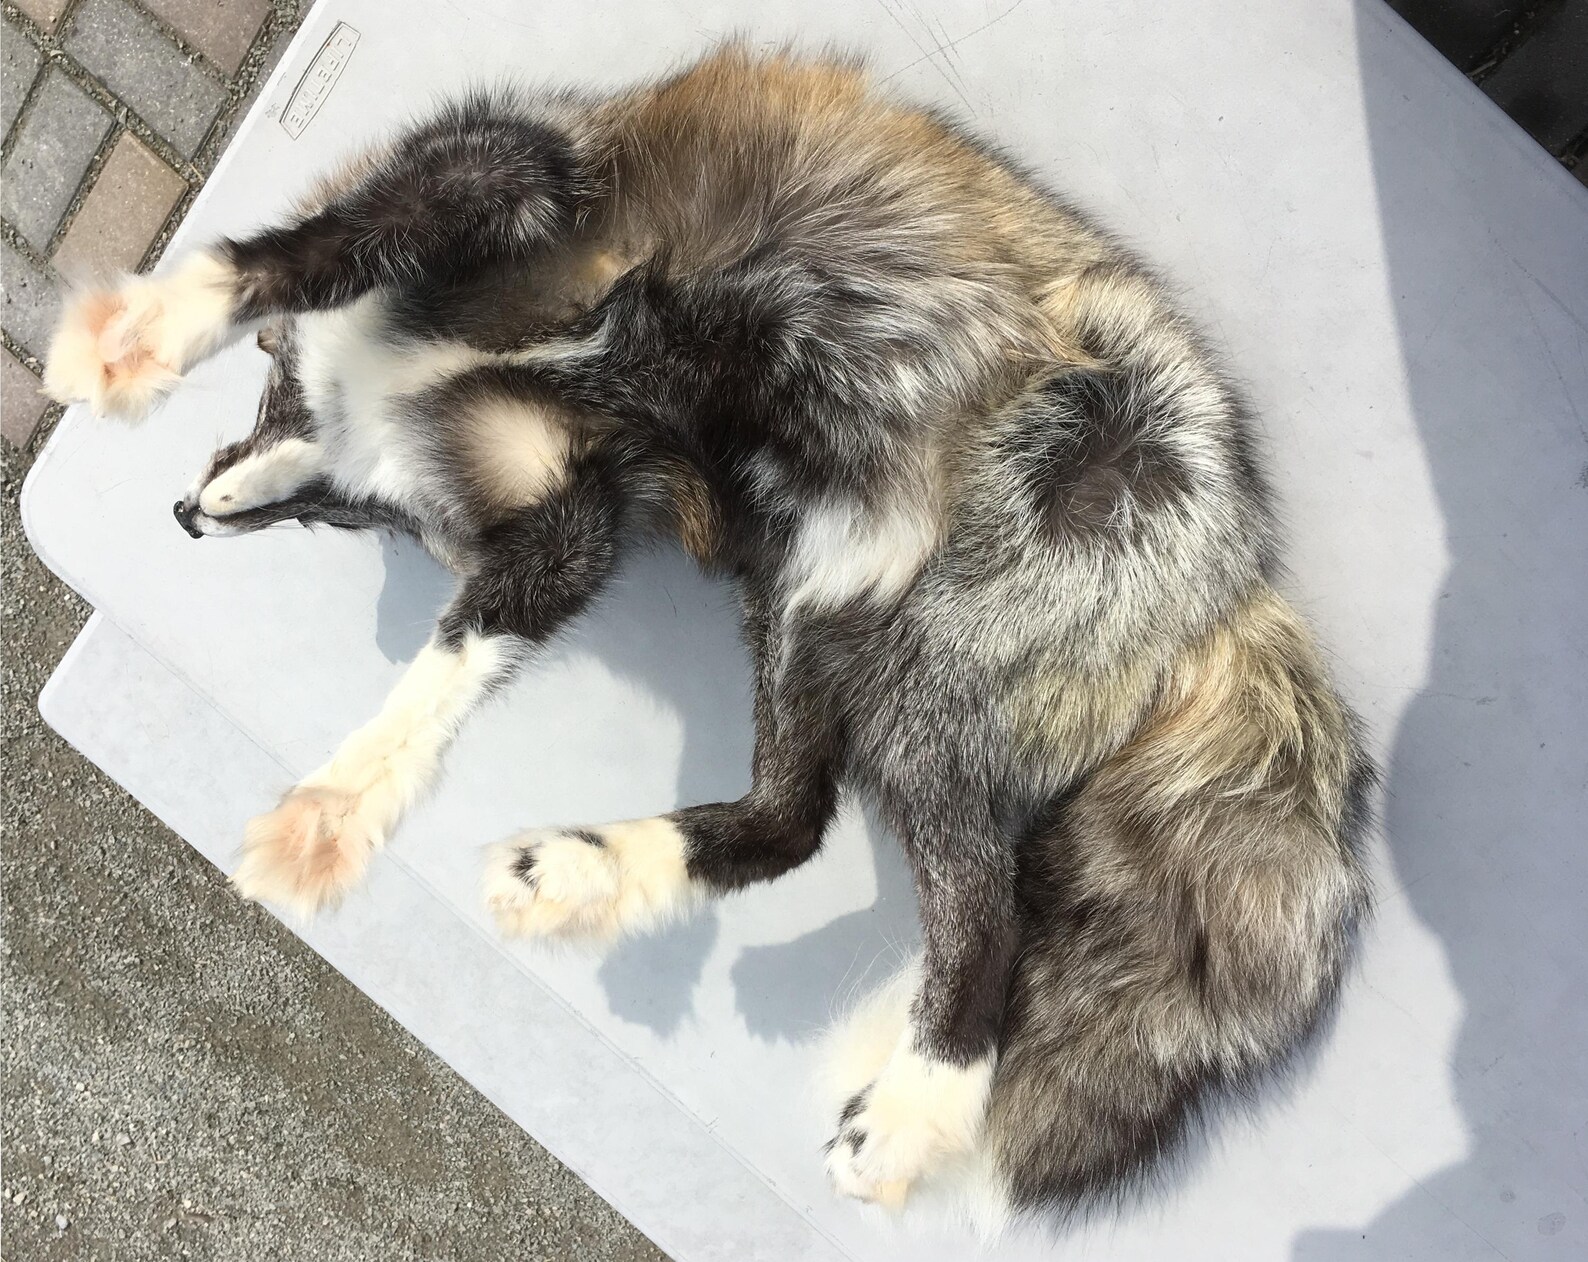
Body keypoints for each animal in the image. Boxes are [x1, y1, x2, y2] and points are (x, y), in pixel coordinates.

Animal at [43, 45, 1374, 1227]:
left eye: (269, 410)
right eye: (330, 515)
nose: (186, 515)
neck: (411, 375)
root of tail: (1239, 585)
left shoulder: (515, 180)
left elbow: (289, 257)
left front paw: (142, 337)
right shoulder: (569, 523)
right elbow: (452, 669)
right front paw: (347, 803)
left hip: (923, 665)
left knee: (985, 914)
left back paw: (914, 1111)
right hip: (803, 604)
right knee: (793, 821)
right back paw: (586, 871)